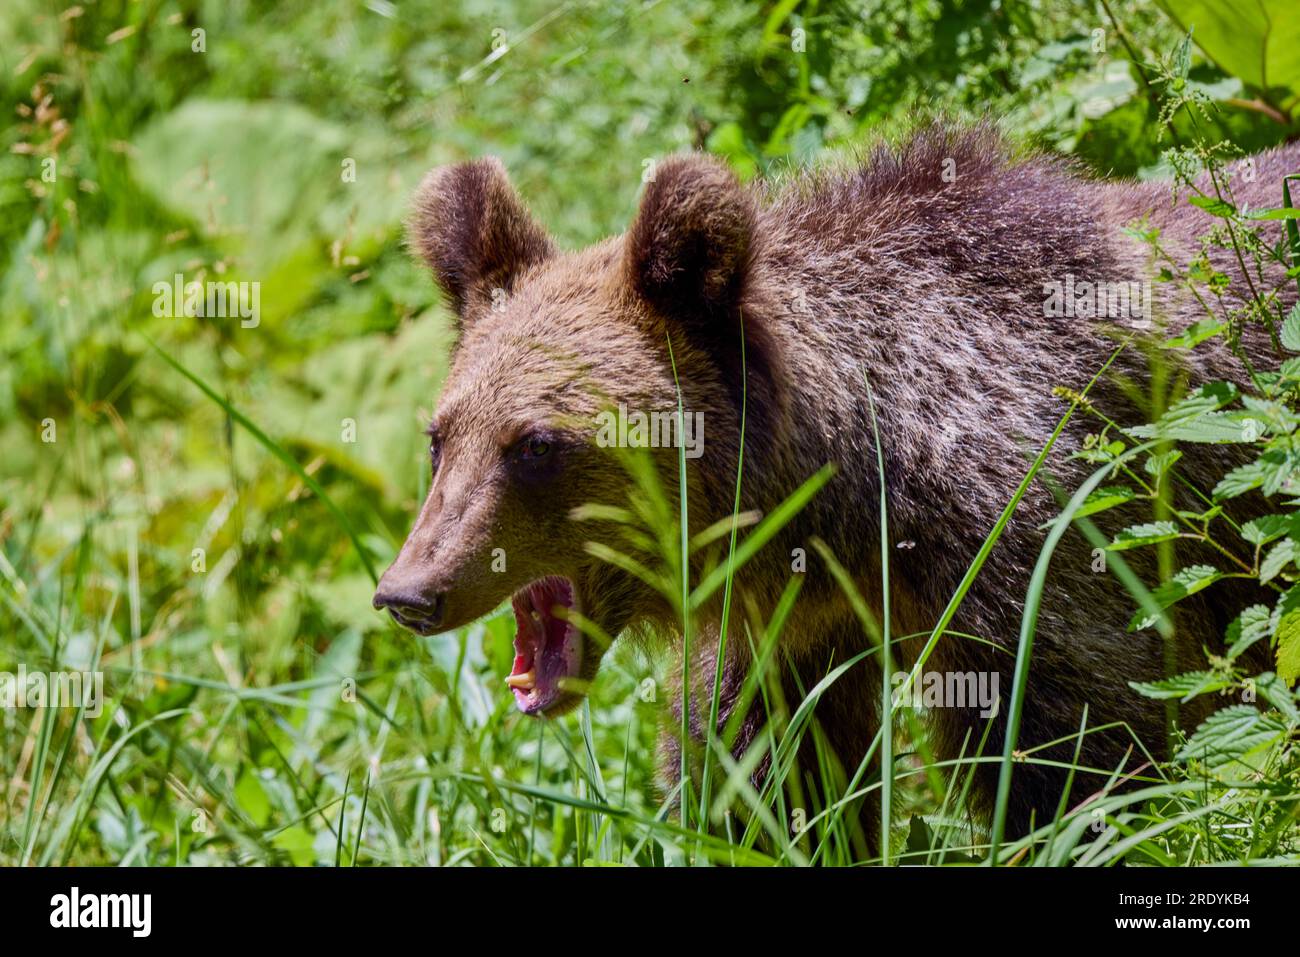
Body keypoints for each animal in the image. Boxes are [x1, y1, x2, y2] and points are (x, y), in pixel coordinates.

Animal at [372, 122, 1300, 855]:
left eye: (535, 445)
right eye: (440, 437)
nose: (409, 591)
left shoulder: (1043, 537)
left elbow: (1075, 752)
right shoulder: (787, 629)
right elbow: (769, 771)